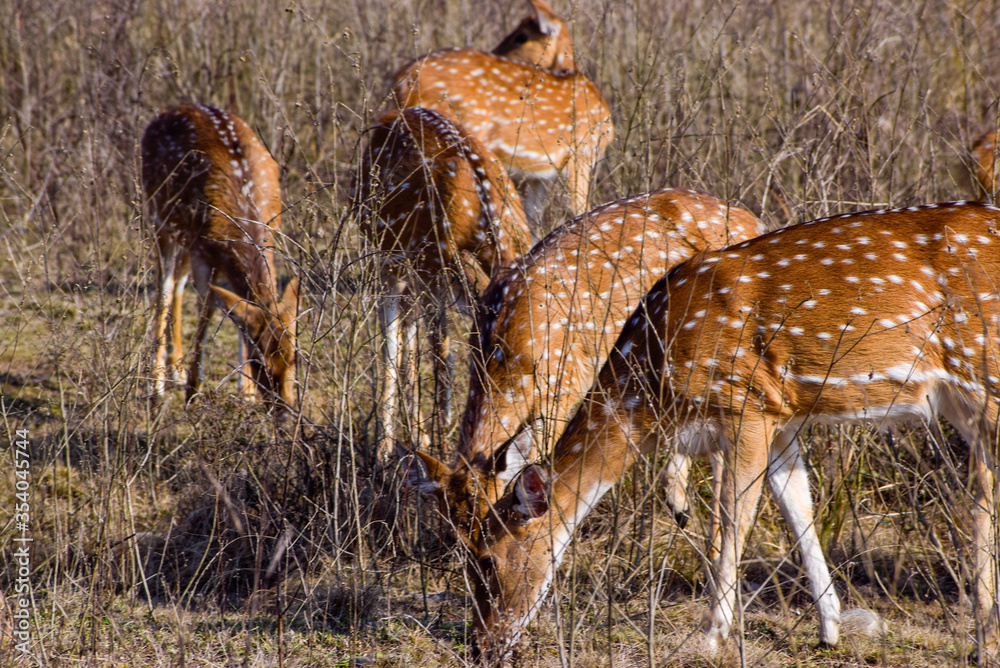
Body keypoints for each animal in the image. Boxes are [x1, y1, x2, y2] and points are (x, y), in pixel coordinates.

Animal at [142, 103, 299, 408]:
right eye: (259, 362)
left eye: (294, 356)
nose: (284, 405)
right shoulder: (203, 250)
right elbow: (208, 311)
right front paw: (193, 390)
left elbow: (239, 310)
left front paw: (245, 391)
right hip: (159, 218)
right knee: (164, 288)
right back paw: (157, 385)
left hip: (184, 237)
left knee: (177, 284)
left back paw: (176, 371)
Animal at [355, 107, 534, 455]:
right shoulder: (432, 262)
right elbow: (441, 355)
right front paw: (440, 443)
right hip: (388, 250)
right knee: (394, 333)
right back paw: (389, 444)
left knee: (408, 325)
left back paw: (415, 434)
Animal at [390, 0, 614, 223]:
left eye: (521, 36)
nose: (495, 52)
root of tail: (400, 81)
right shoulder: (582, 152)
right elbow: (579, 209)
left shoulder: (541, 174)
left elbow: (535, 216)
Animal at [402, 189, 764, 558]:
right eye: (457, 533)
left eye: (491, 518)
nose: (477, 559)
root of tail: (751, 217)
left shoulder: (565, 386)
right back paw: (682, 508)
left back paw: (709, 536)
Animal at [469, 201, 1000, 664]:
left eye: (487, 559)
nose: (481, 647)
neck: (656, 396)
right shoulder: (782, 415)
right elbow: (799, 509)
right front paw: (829, 630)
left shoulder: (744, 404)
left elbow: (732, 518)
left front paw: (710, 636)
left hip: (983, 374)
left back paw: (984, 641)